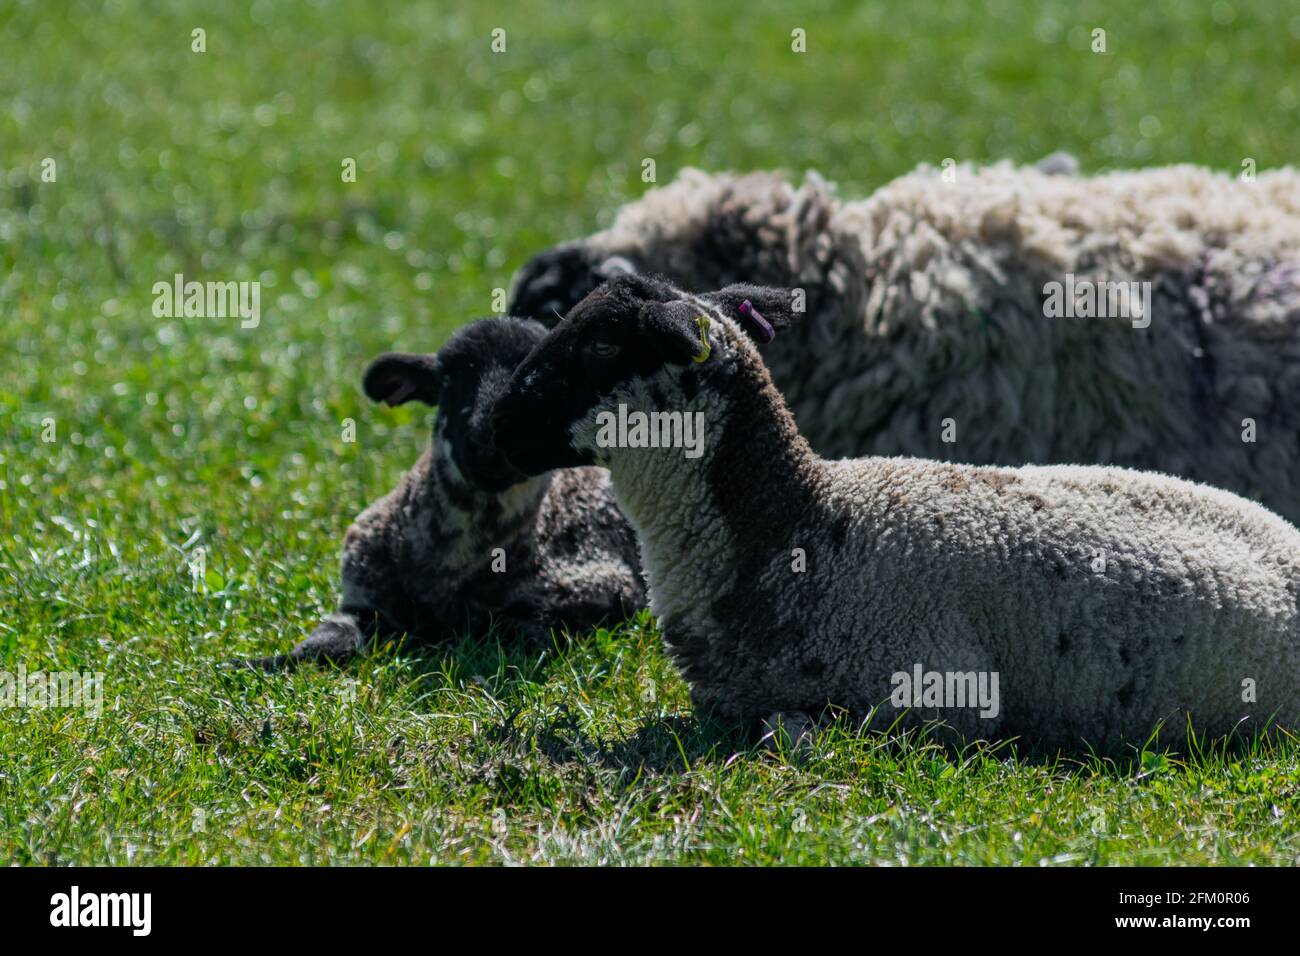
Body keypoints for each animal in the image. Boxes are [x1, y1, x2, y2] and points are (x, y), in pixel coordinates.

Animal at [245, 317, 645, 669]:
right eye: (449, 381)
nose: (488, 442)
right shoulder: (362, 600)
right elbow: (324, 642)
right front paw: (254, 664)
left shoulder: (598, 583)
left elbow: (514, 625)